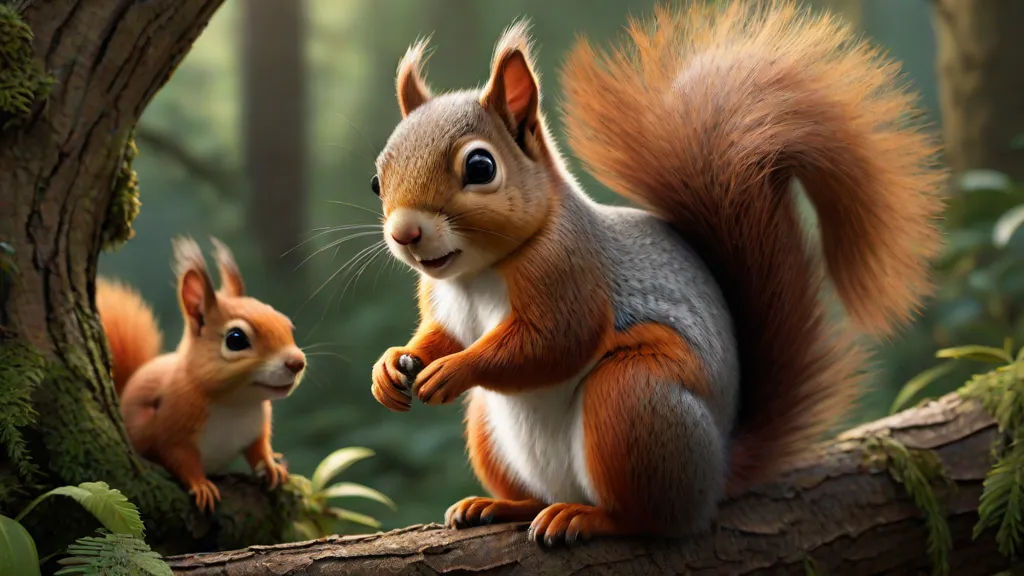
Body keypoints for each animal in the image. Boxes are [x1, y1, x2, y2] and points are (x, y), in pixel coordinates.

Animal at [96, 237, 306, 512]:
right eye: (236, 339)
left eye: (288, 325)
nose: (297, 363)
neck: (234, 405)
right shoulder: (172, 427)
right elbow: (180, 458)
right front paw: (201, 485)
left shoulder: (256, 428)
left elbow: (258, 448)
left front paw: (270, 465)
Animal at [369, 1, 944, 545]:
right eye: (378, 179)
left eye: (481, 167)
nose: (405, 233)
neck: (478, 273)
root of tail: (716, 475)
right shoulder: (445, 303)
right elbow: (441, 336)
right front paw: (392, 365)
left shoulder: (571, 274)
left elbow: (554, 343)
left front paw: (454, 370)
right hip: (492, 427)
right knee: (535, 495)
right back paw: (497, 506)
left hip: (634, 400)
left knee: (650, 518)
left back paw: (587, 517)